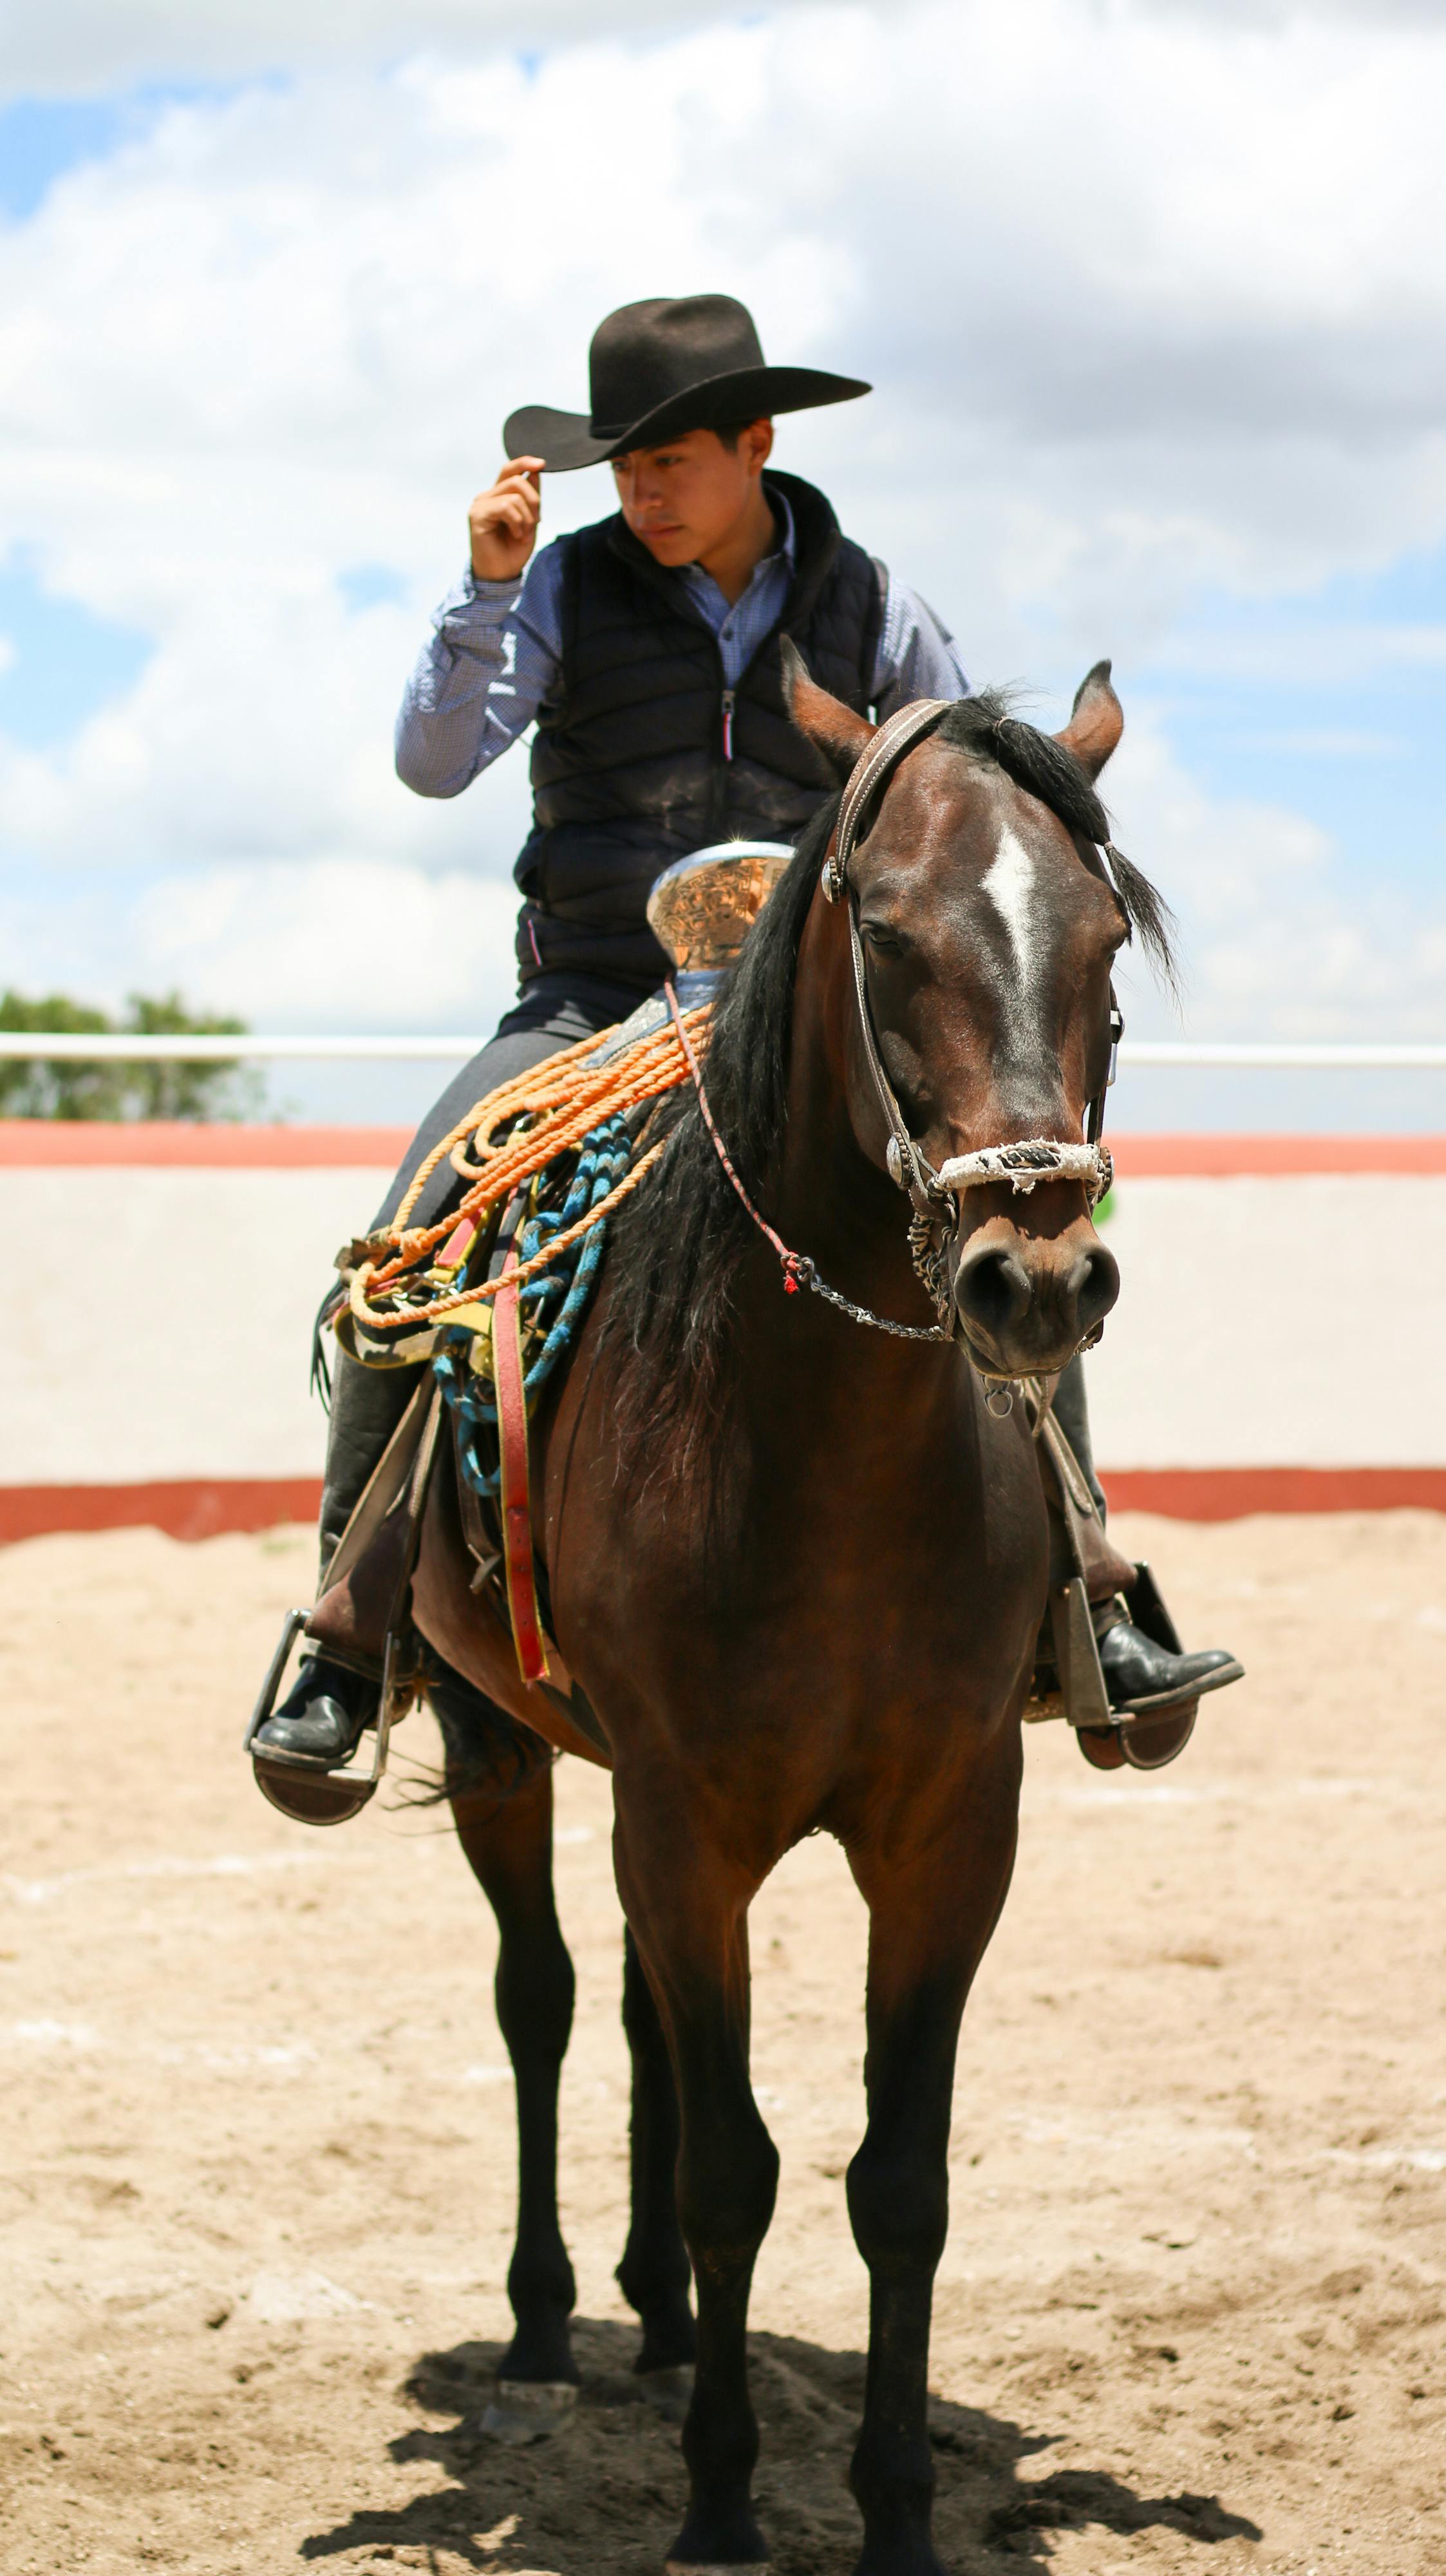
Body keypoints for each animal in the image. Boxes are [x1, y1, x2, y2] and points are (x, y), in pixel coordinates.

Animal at [410, 652, 1172, 2575]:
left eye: (1101, 940)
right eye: (883, 931)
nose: (1032, 1277)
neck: (816, 1462)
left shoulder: (948, 1823)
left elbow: (892, 2182)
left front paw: (892, 2510)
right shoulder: (687, 1820)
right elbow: (732, 2170)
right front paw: (715, 2504)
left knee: (626, 2023)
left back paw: (655, 2323)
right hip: (493, 1744)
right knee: (539, 2000)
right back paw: (543, 2337)